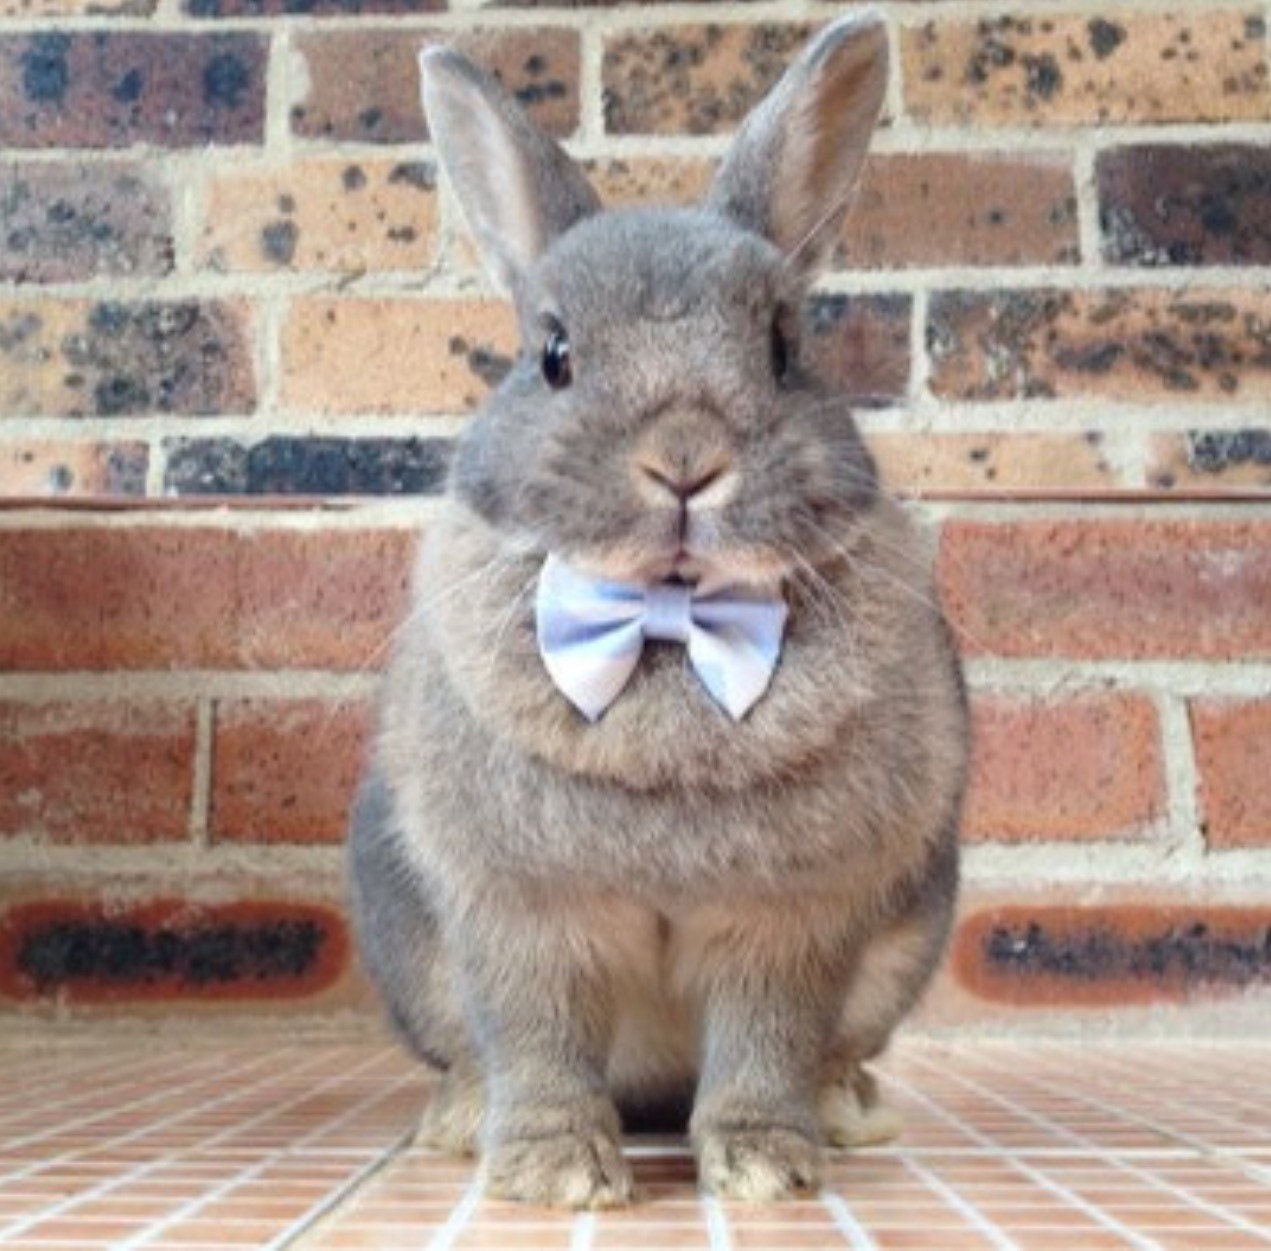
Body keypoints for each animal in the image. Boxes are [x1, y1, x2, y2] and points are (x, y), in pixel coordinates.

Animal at [348, 11, 968, 1209]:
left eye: (782, 347)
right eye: (553, 353)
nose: (685, 458)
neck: (670, 625)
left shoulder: (790, 927)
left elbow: (765, 1047)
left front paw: (767, 1171)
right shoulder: (520, 918)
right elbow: (537, 1044)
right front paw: (555, 1177)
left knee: (828, 1050)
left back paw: (844, 1114)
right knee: (475, 1057)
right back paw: (459, 1123)